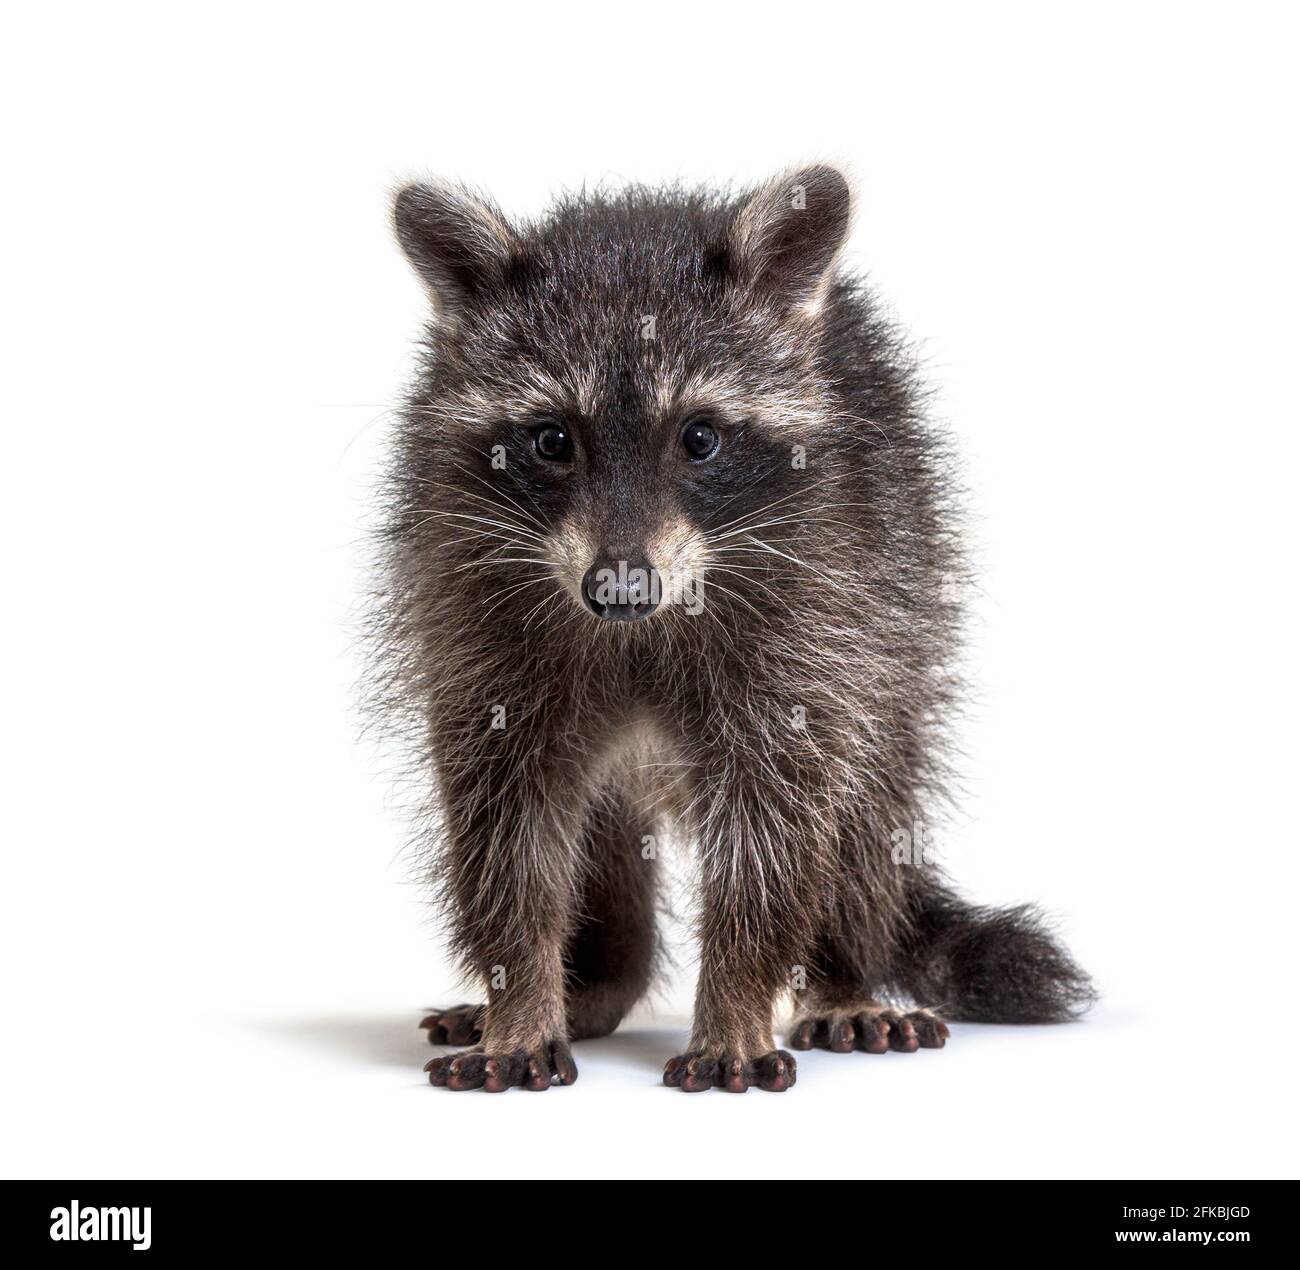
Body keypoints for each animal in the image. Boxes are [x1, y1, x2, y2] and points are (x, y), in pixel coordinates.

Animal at [376, 165, 1093, 1093]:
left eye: (700, 438)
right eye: (551, 439)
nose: (619, 586)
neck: (643, 625)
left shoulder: (819, 610)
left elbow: (777, 819)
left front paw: (741, 1000)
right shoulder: (471, 610)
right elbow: (508, 821)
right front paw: (520, 1000)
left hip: (902, 620)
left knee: (867, 804)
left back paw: (844, 972)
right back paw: (599, 979)